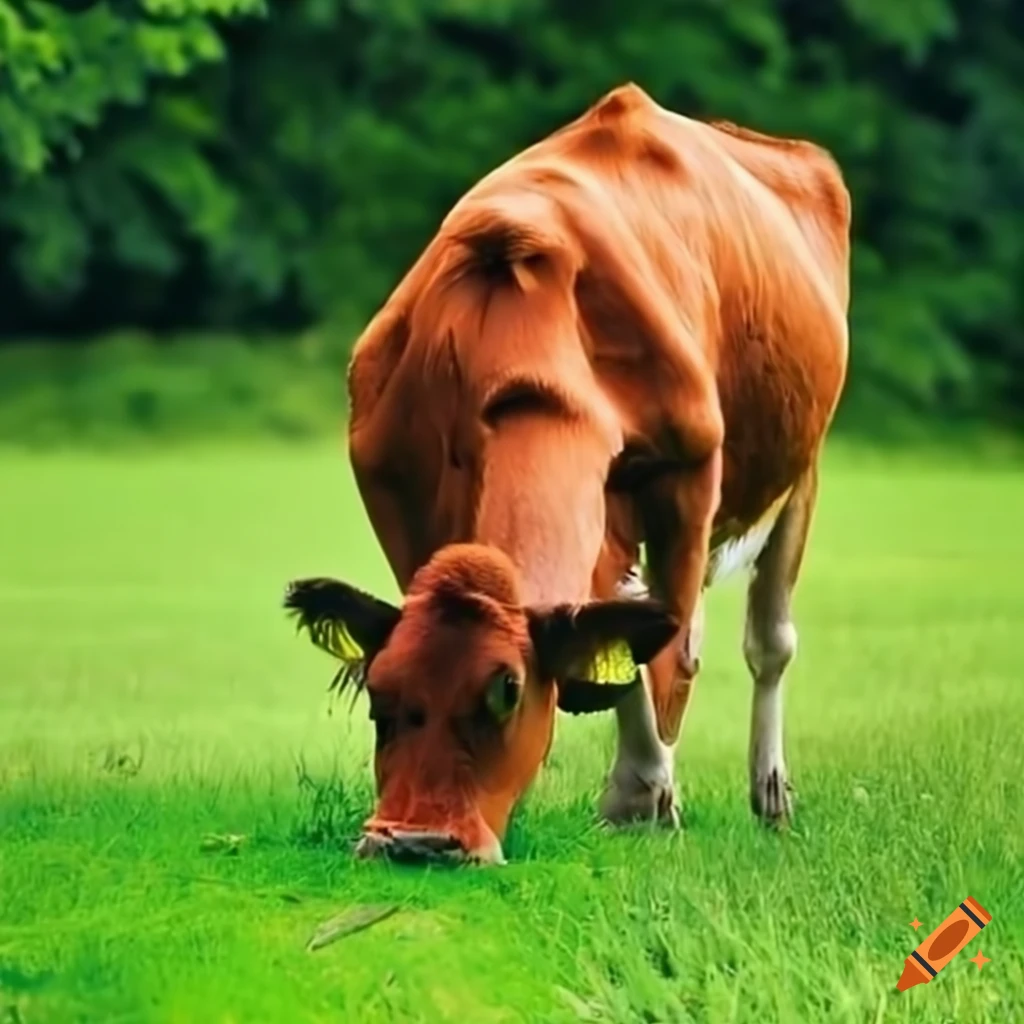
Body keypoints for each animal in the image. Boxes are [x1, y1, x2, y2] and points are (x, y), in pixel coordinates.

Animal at [285, 82, 851, 865]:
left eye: (506, 690)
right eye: (379, 695)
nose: (416, 840)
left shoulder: (687, 475)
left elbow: (667, 648)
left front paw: (646, 795)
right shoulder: (396, 479)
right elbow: (616, 634)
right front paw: (634, 795)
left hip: (800, 466)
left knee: (767, 642)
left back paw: (770, 796)